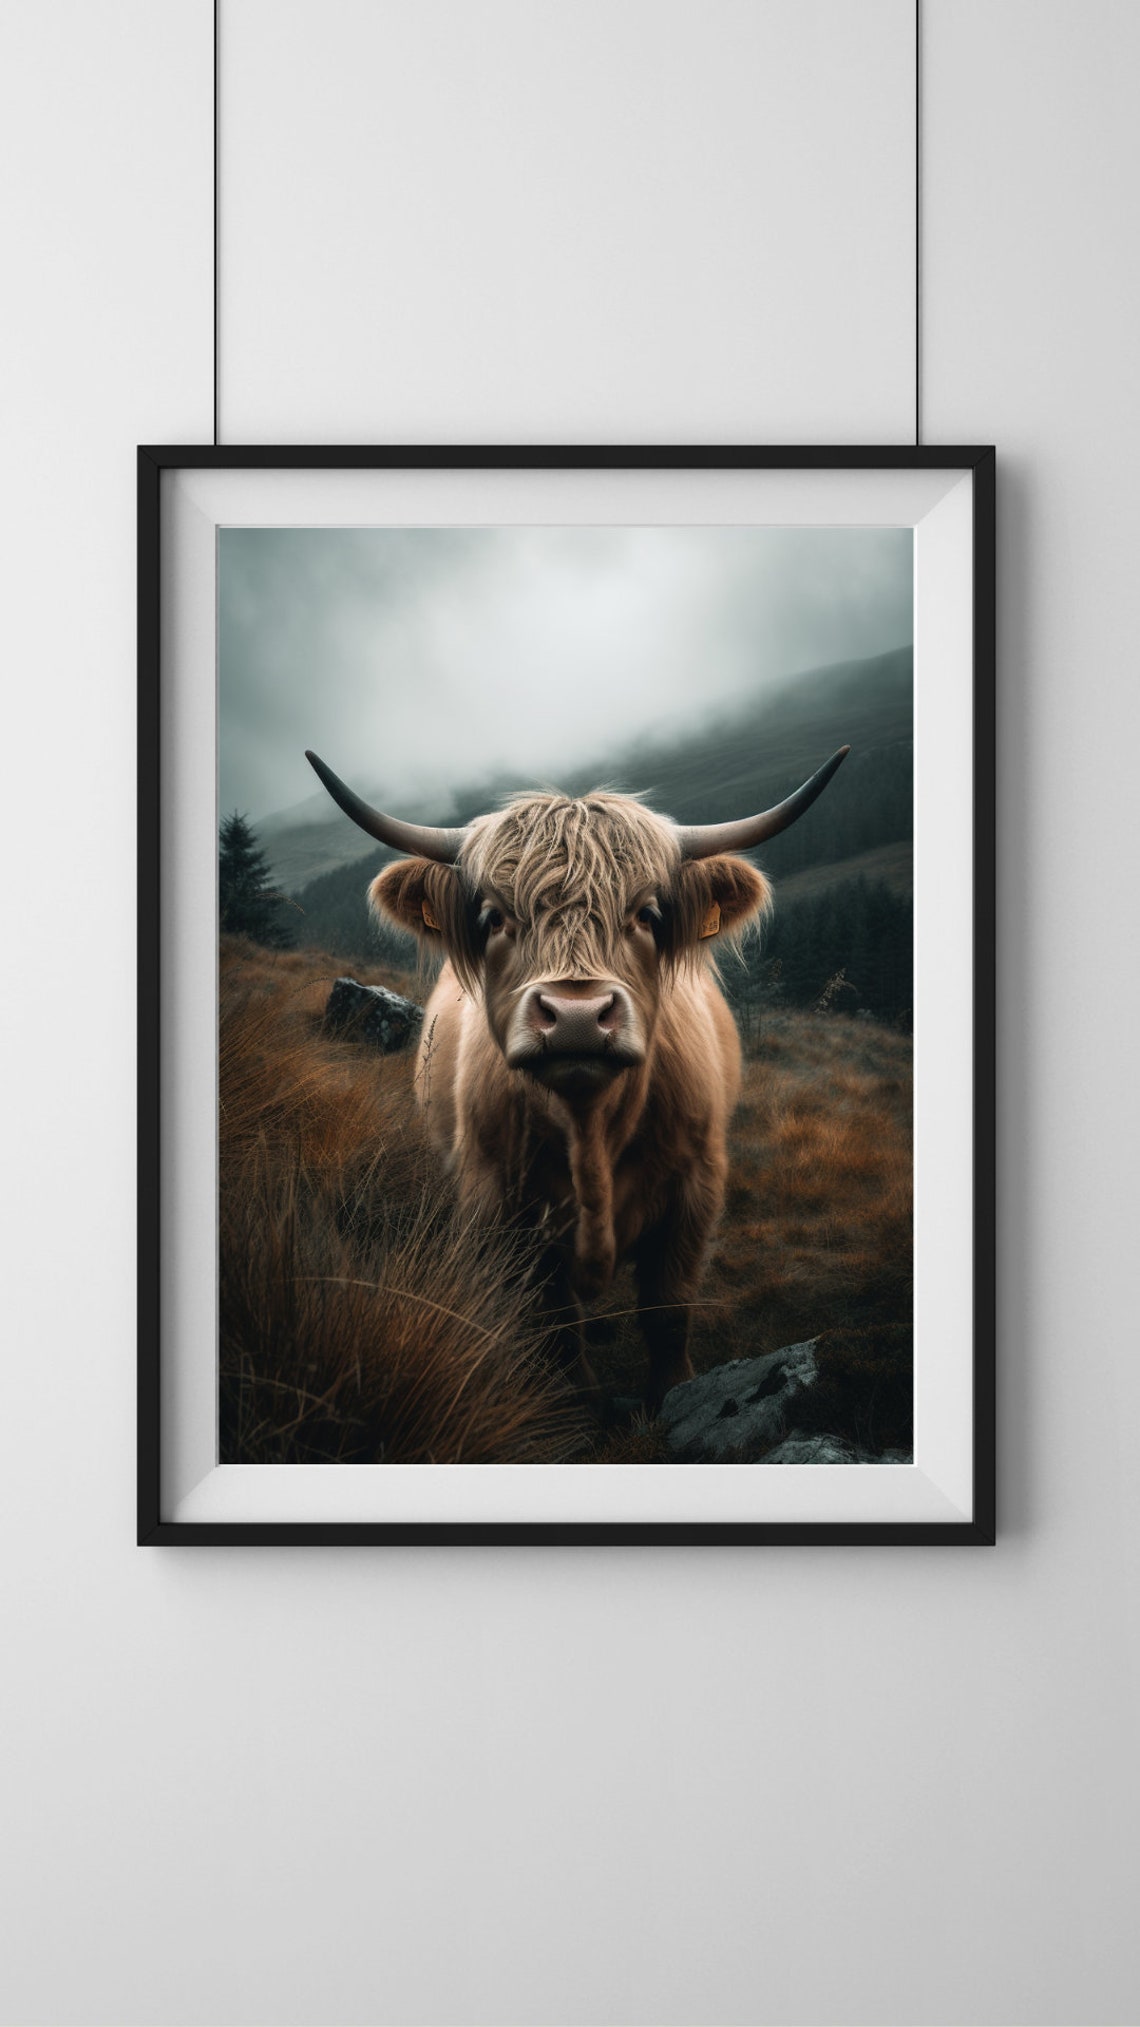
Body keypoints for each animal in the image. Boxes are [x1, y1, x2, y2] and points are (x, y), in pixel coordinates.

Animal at [306, 745, 849, 1409]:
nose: (576, 1017)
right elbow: (555, 1317)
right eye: (492, 917)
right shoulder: (500, 1200)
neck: (589, 1128)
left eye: (648, 913)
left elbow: (668, 1306)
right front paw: (578, 1397)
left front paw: (673, 1391)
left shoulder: (697, 1187)